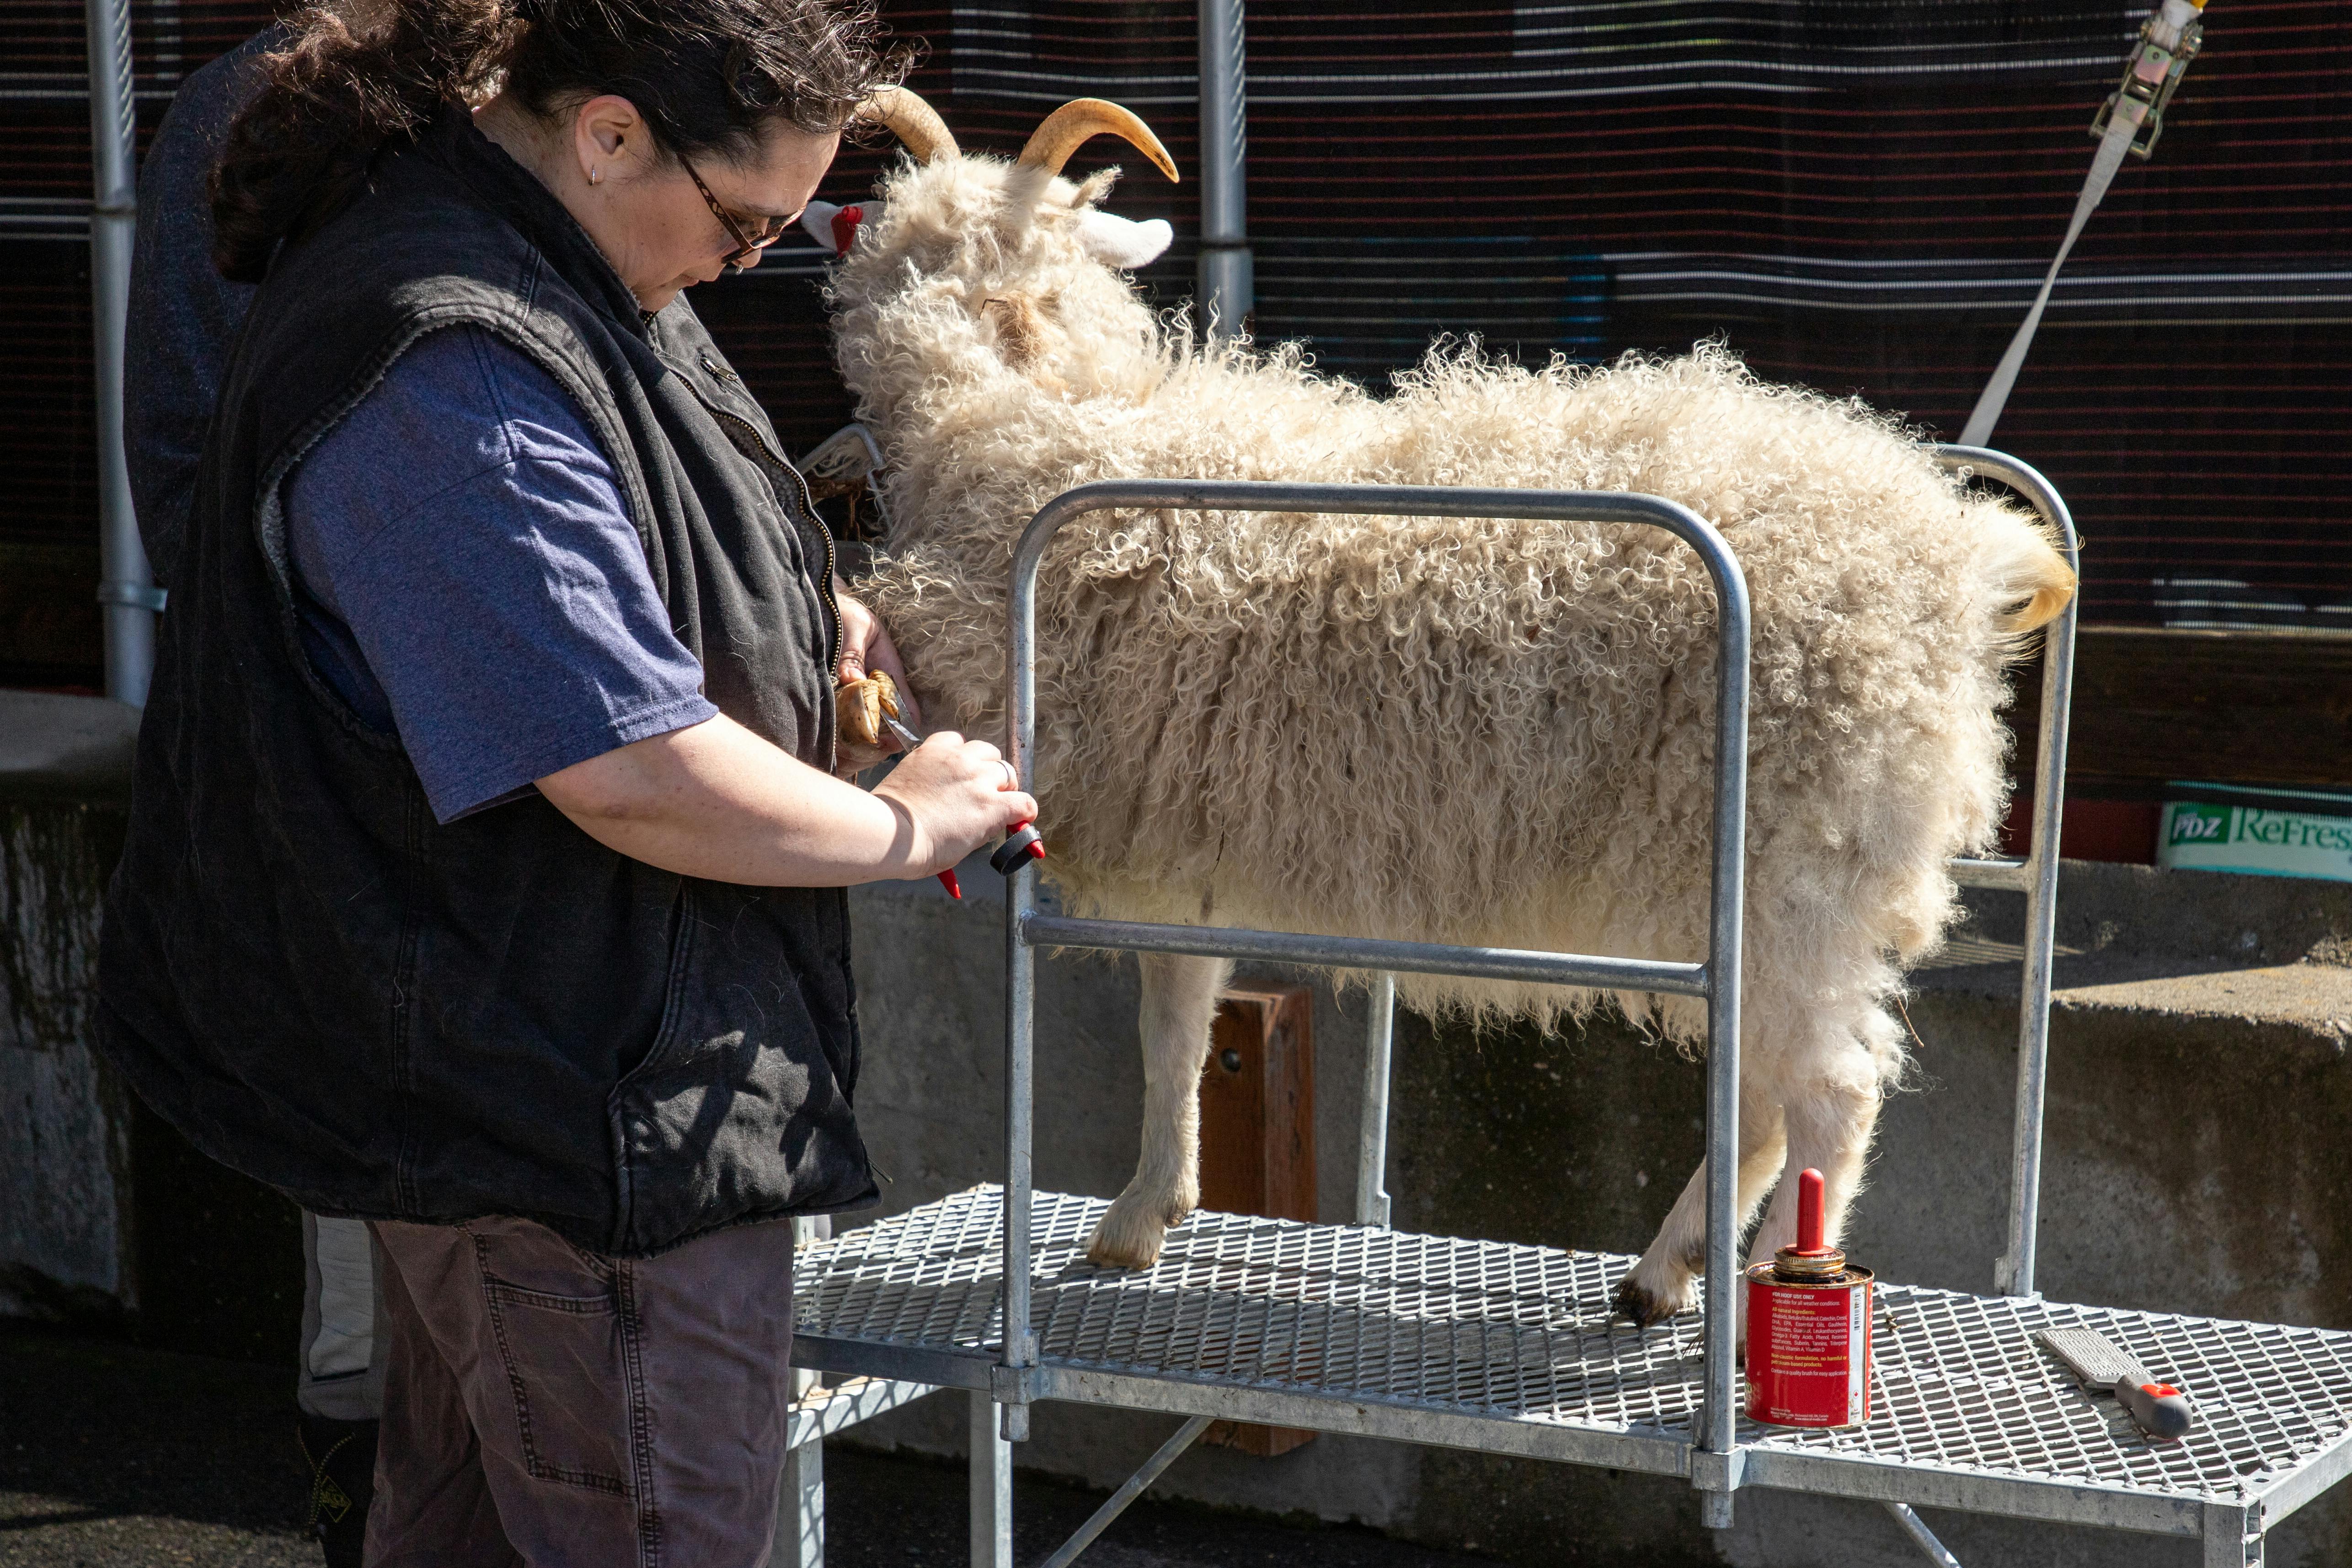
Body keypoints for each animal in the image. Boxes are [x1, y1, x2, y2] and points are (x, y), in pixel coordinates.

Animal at [819, 91, 2075, 1323]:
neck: (1035, 401)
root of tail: (1955, 565)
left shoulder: (1147, 820)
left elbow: (1162, 1030)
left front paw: (1131, 1218)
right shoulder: (1187, 839)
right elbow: (1182, 1016)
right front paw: (1155, 1208)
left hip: (1788, 869)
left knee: (1830, 1093)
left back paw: (1760, 1288)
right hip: (1784, 895)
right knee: (1768, 1101)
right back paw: (1664, 1268)